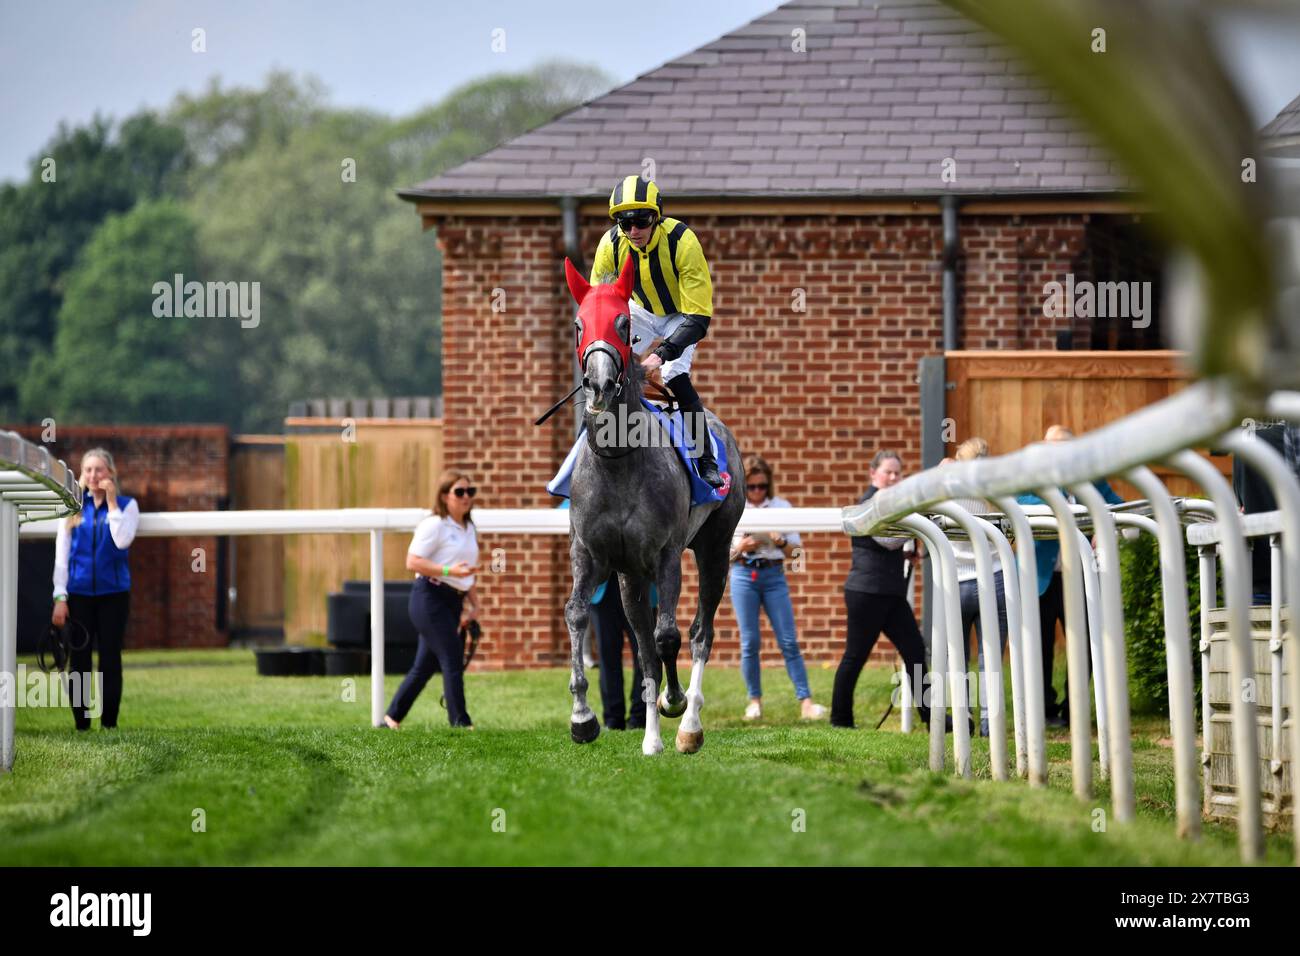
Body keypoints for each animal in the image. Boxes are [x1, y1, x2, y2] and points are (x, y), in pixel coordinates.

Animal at [561, 254, 745, 755]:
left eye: (623, 324)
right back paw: (652, 740)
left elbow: (668, 636)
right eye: (578, 324)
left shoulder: (666, 554)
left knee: (700, 633)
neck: (619, 461)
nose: (600, 384)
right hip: (630, 576)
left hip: (714, 548)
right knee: (643, 644)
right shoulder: (594, 554)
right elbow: (579, 614)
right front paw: (583, 717)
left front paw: (674, 701)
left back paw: (688, 726)